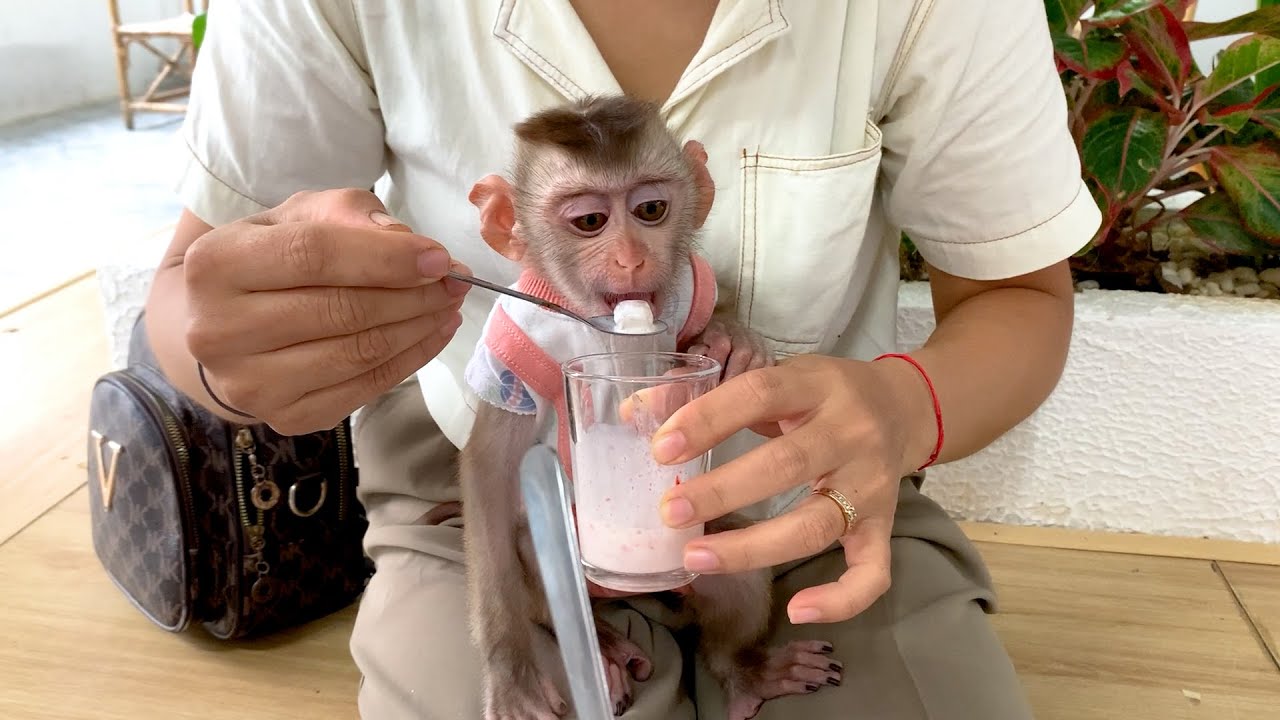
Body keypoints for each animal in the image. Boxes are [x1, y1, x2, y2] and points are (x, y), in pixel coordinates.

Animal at [447, 95, 842, 720]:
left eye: (651, 210)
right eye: (589, 222)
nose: (632, 259)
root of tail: (641, 590)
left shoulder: (686, 287)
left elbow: (706, 319)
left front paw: (733, 342)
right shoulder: (514, 341)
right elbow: (489, 471)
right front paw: (510, 671)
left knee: (733, 569)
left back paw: (743, 671)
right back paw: (603, 647)